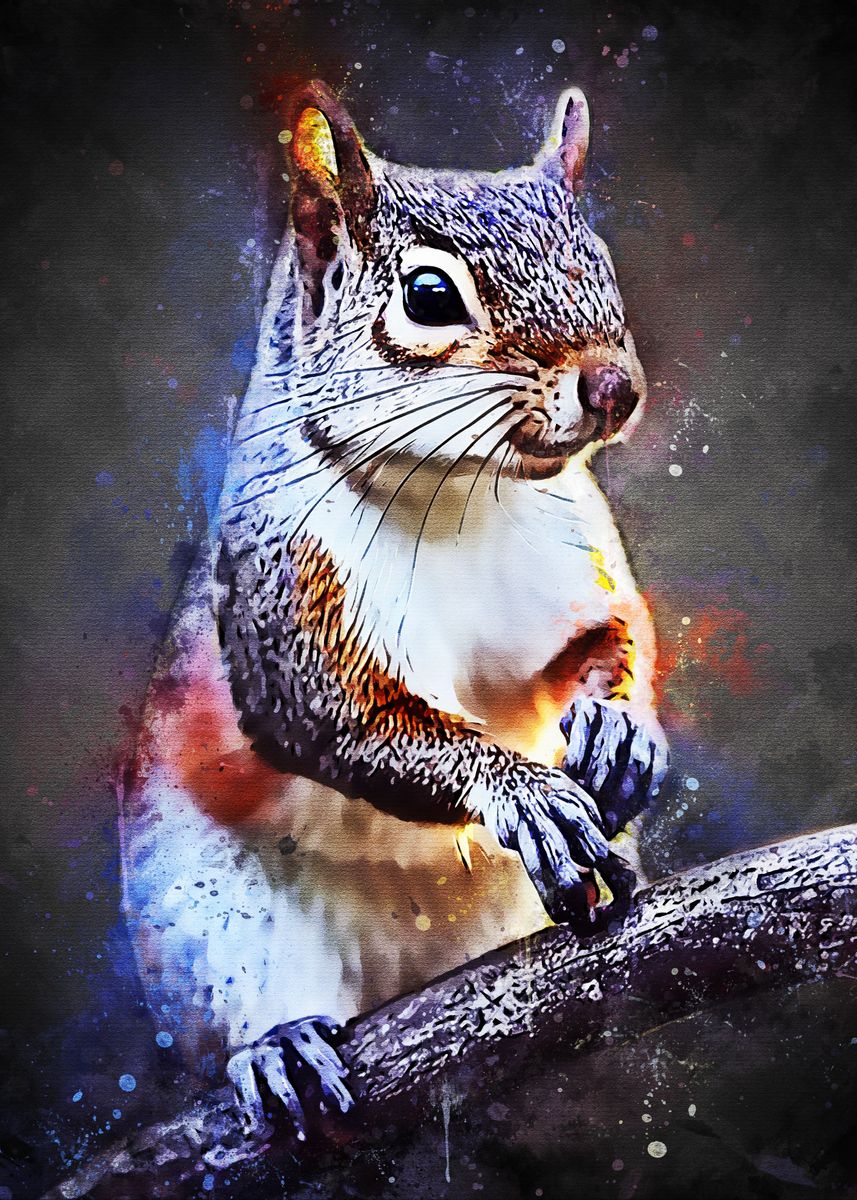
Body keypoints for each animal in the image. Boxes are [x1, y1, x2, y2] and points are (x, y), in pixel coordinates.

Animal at [121, 80, 668, 1139]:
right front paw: (520, 791)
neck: (459, 498)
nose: (614, 387)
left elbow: (613, 637)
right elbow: (341, 720)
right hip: (210, 929)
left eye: (600, 259)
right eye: (428, 297)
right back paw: (279, 1046)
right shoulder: (284, 593)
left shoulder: (580, 562)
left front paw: (620, 731)